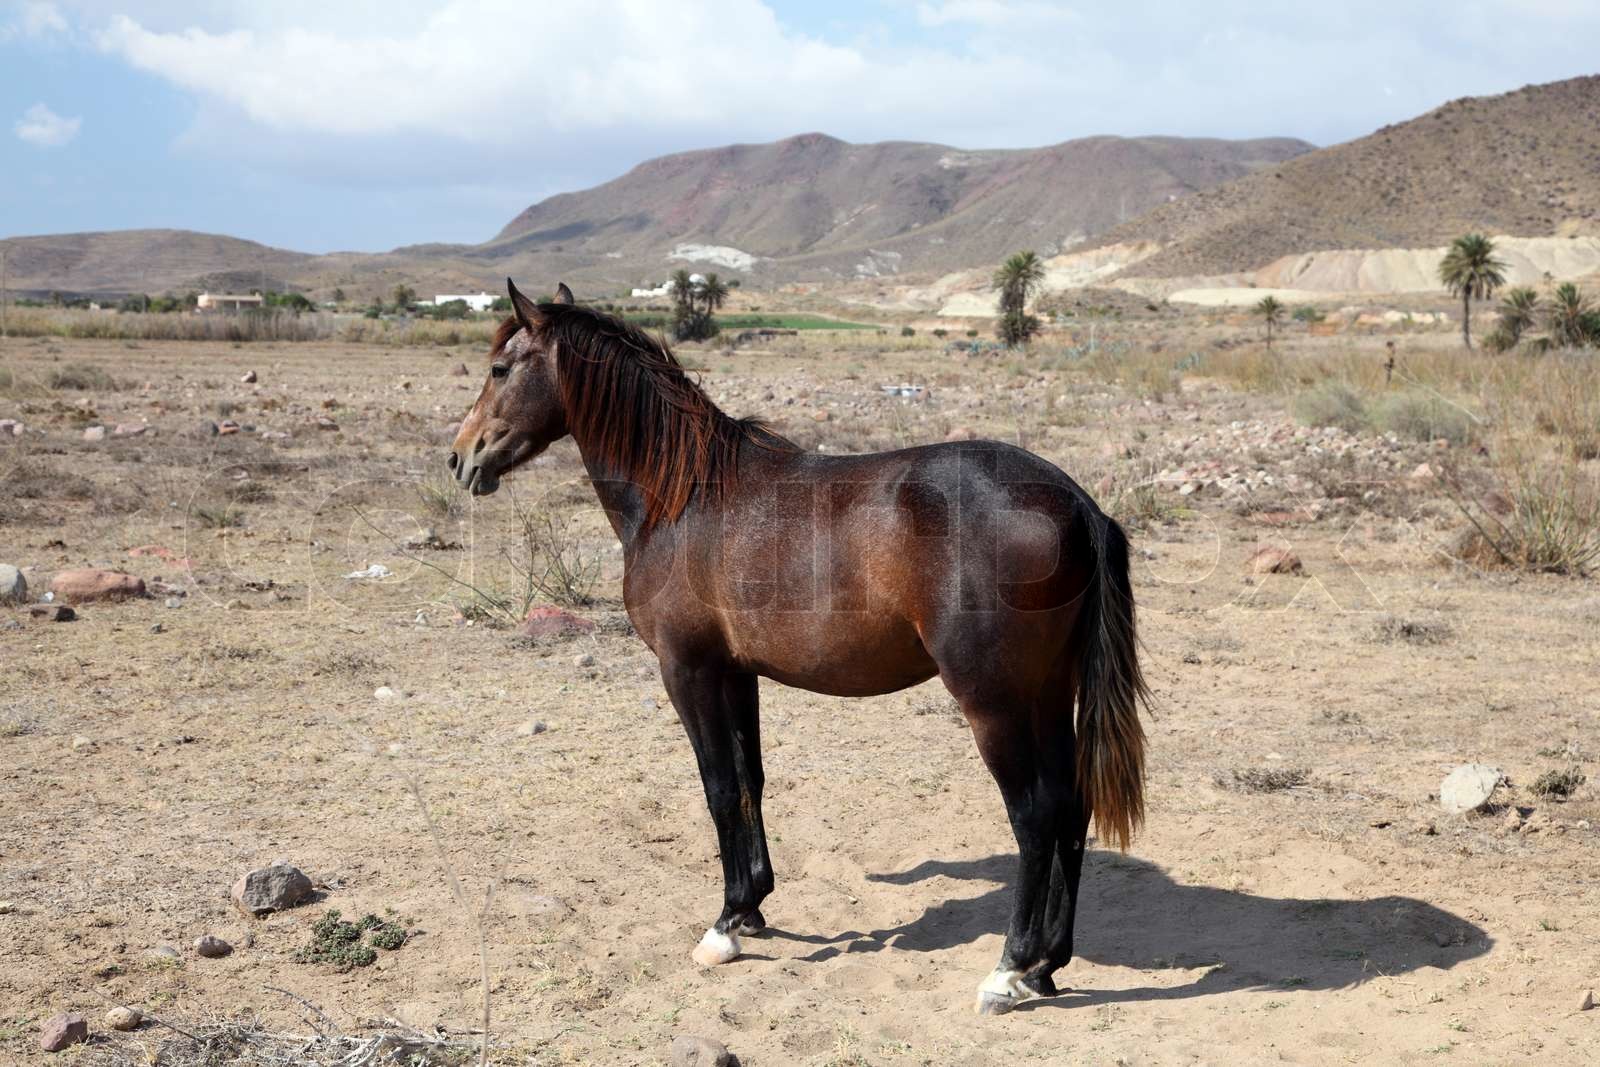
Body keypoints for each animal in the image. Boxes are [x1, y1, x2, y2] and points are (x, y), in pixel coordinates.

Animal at [448, 280, 1148, 1015]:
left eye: (500, 369)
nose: (461, 458)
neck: (682, 498)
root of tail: (1078, 503)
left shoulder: (687, 670)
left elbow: (718, 787)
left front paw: (724, 924)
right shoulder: (736, 673)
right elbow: (749, 780)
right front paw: (753, 903)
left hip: (995, 702)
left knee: (1035, 817)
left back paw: (1009, 970)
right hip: (1049, 692)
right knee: (1071, 806)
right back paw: (1047, 966)